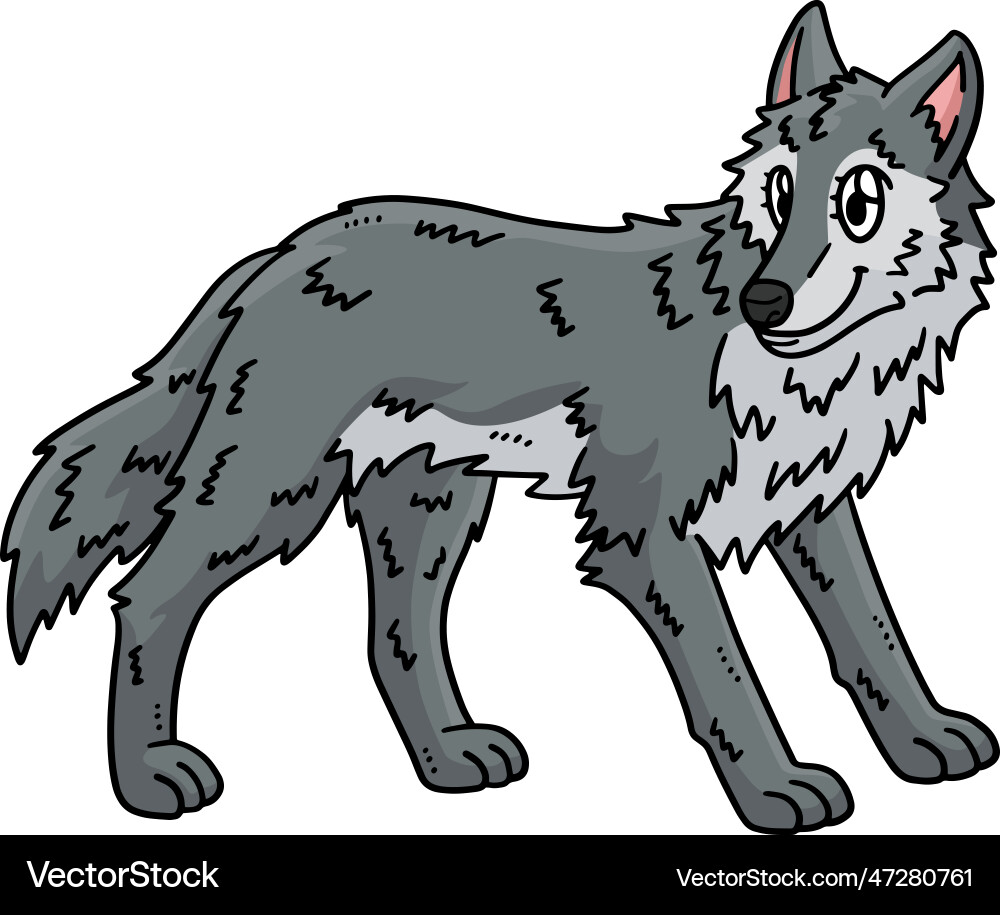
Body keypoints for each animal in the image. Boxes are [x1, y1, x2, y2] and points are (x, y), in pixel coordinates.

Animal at [3, 2, 997, 834]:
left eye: (858, 204)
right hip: (269, 498)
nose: (764, 300)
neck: (797, 376)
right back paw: (148, 780)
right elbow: (730, 676)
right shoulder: (647, 534)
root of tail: (276, 254)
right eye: (779, 191)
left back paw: (449, 759)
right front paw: (776, 788)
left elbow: (876, 635)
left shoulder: (810, 507)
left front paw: (925, 740)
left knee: (394, 641)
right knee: (147, 599)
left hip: (430, 510)